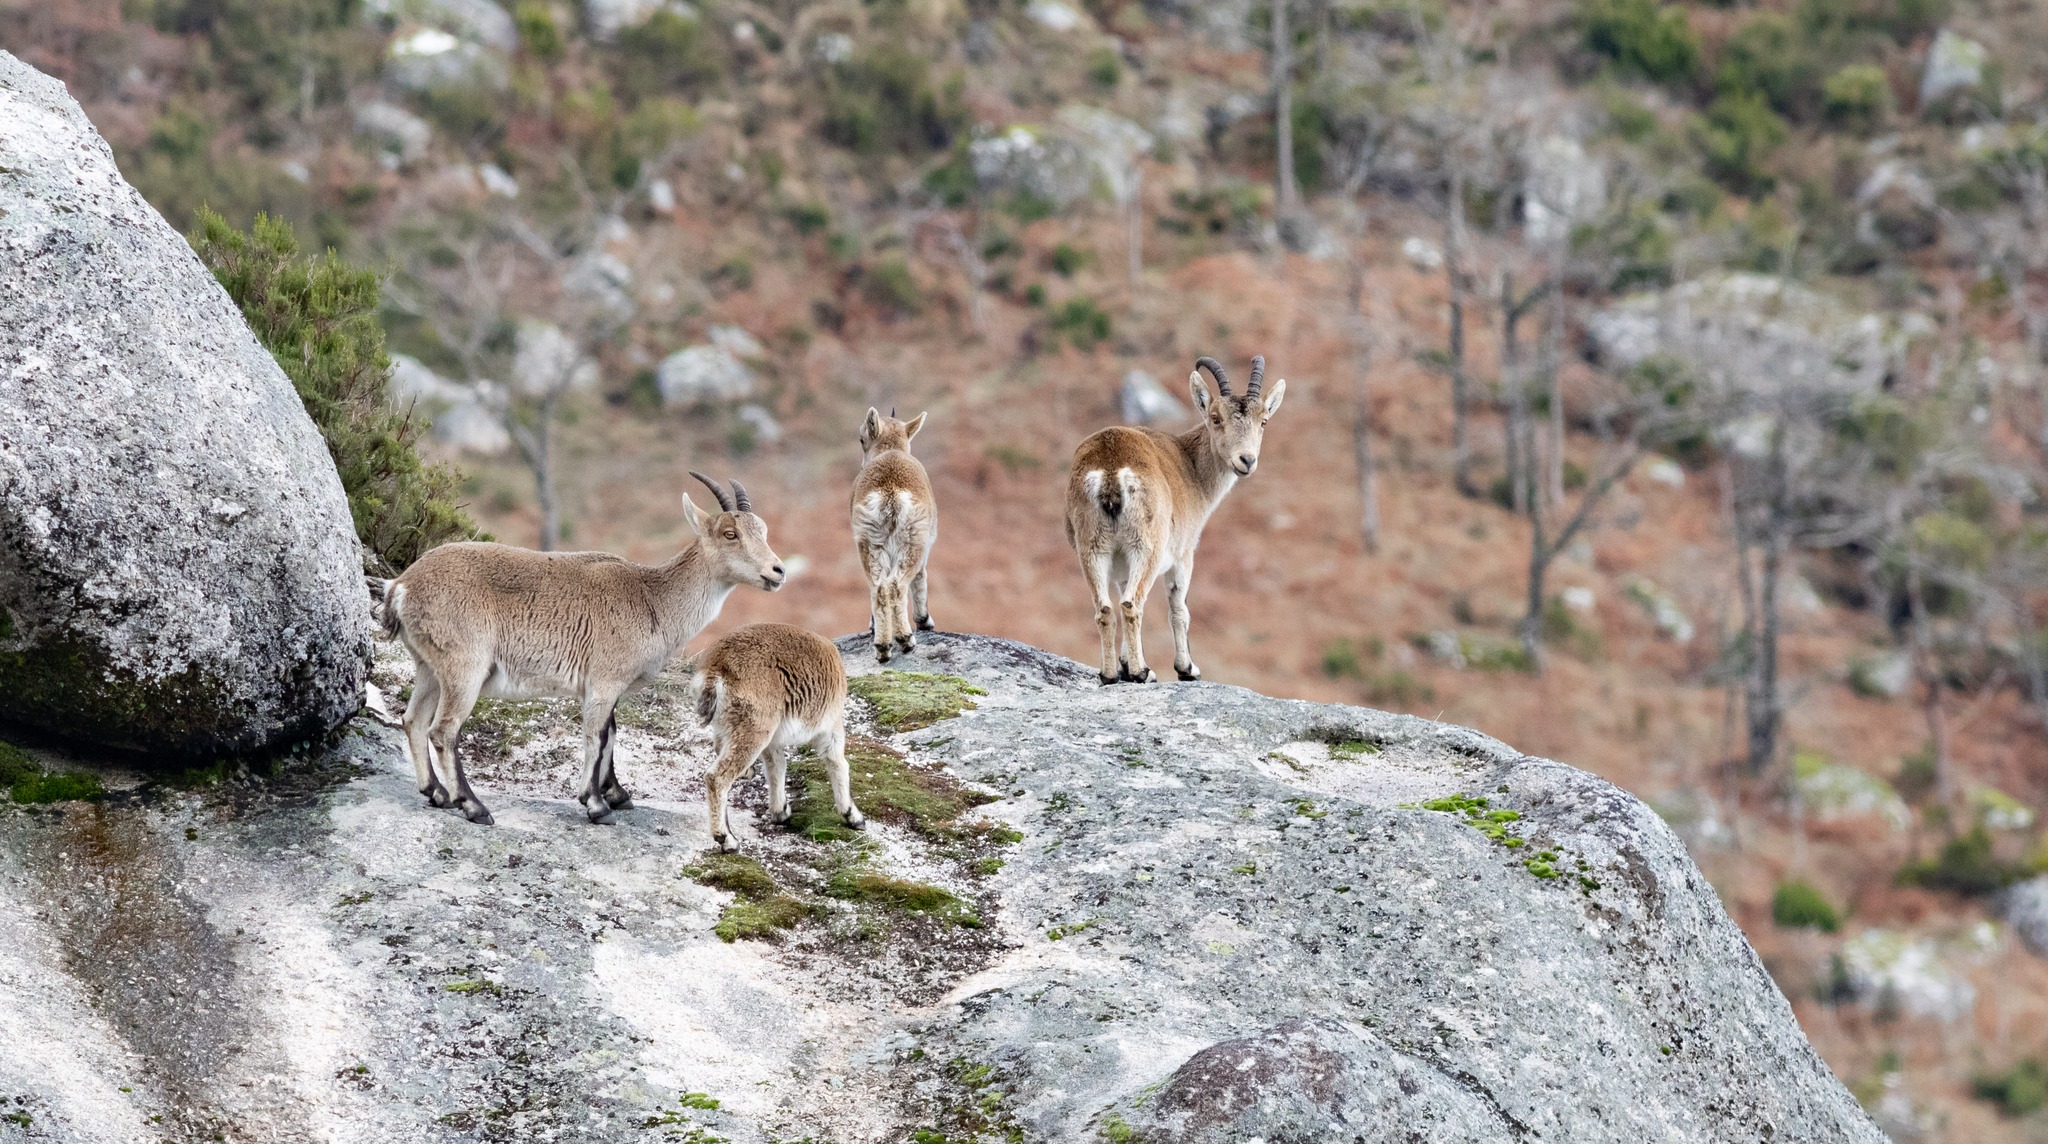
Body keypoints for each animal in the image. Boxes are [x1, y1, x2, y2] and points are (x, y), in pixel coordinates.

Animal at [367, 472, 785, 826]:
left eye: (762, 530)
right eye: (730, 533)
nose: (778, 571)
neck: (652, 598)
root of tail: (401, 587)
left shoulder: (605, 685)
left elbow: (611, 734)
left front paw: (617, 794)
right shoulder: (604, 680)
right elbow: (596, 736)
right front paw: (596, 805)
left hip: (429, 666)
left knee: (413, 720)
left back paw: (436, 793)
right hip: (464, 667)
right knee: (443, 730)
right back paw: (473, 806)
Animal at [689, 622, 865, 852]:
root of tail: (716, 669)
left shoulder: (773, 741)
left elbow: (777, 766)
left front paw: (780, 811)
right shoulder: (830, 727)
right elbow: (838, 764)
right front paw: (854, 817)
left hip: (732, 728)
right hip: (755, 730)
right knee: (716, 777)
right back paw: (728, 840)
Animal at [850, 407, 937, 662]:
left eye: (861, 439)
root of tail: (890, 493)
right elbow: (921, 581)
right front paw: (925, 622)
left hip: (868, 544)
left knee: (879, 588)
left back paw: (882, 646)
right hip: (912, 543)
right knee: (897, 585)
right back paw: (905, 640)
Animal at [1064, 355, 1286, 684]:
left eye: (1264, 420)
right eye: (1216, 418)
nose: (1246, 460)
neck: (1191, 466)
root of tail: (1110, 471)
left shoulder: (1121, 564)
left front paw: (1125, 665)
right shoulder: (1183, 554)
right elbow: (1179, 609)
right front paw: (1186, 669)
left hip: (1092, 547)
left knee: (1105, 608)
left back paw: (1109, 675)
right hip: (1147, 547)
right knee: (1131, 604)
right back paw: (1143, 672)